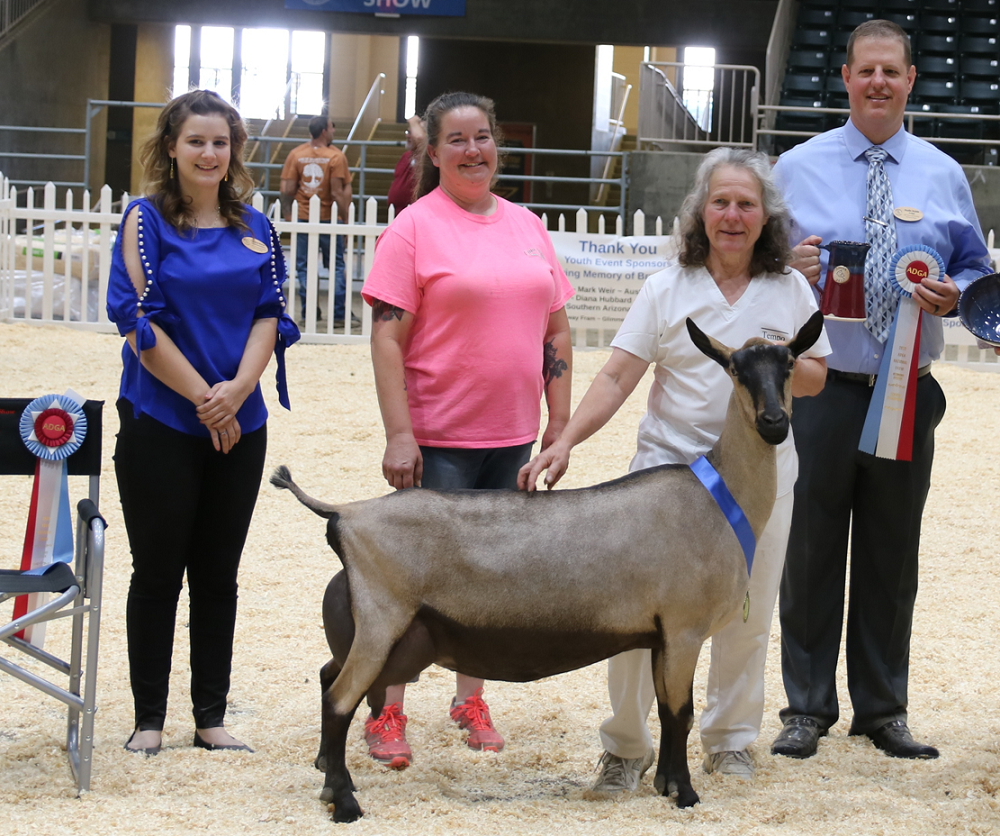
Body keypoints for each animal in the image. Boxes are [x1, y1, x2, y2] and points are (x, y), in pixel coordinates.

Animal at [271, 310, 825, 822]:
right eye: (736, 370)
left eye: (790, 364)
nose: (775, 423)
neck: (719, 497)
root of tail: (345, 515)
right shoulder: (685, 629)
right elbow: (680, 712)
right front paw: (685, 794)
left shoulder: (662, 635)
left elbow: (671, 713)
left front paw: (666, 785)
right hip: (381, 622)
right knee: (339, 698)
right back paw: (343, 801)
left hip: (374, 632)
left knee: (327, 676)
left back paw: (326, 771)